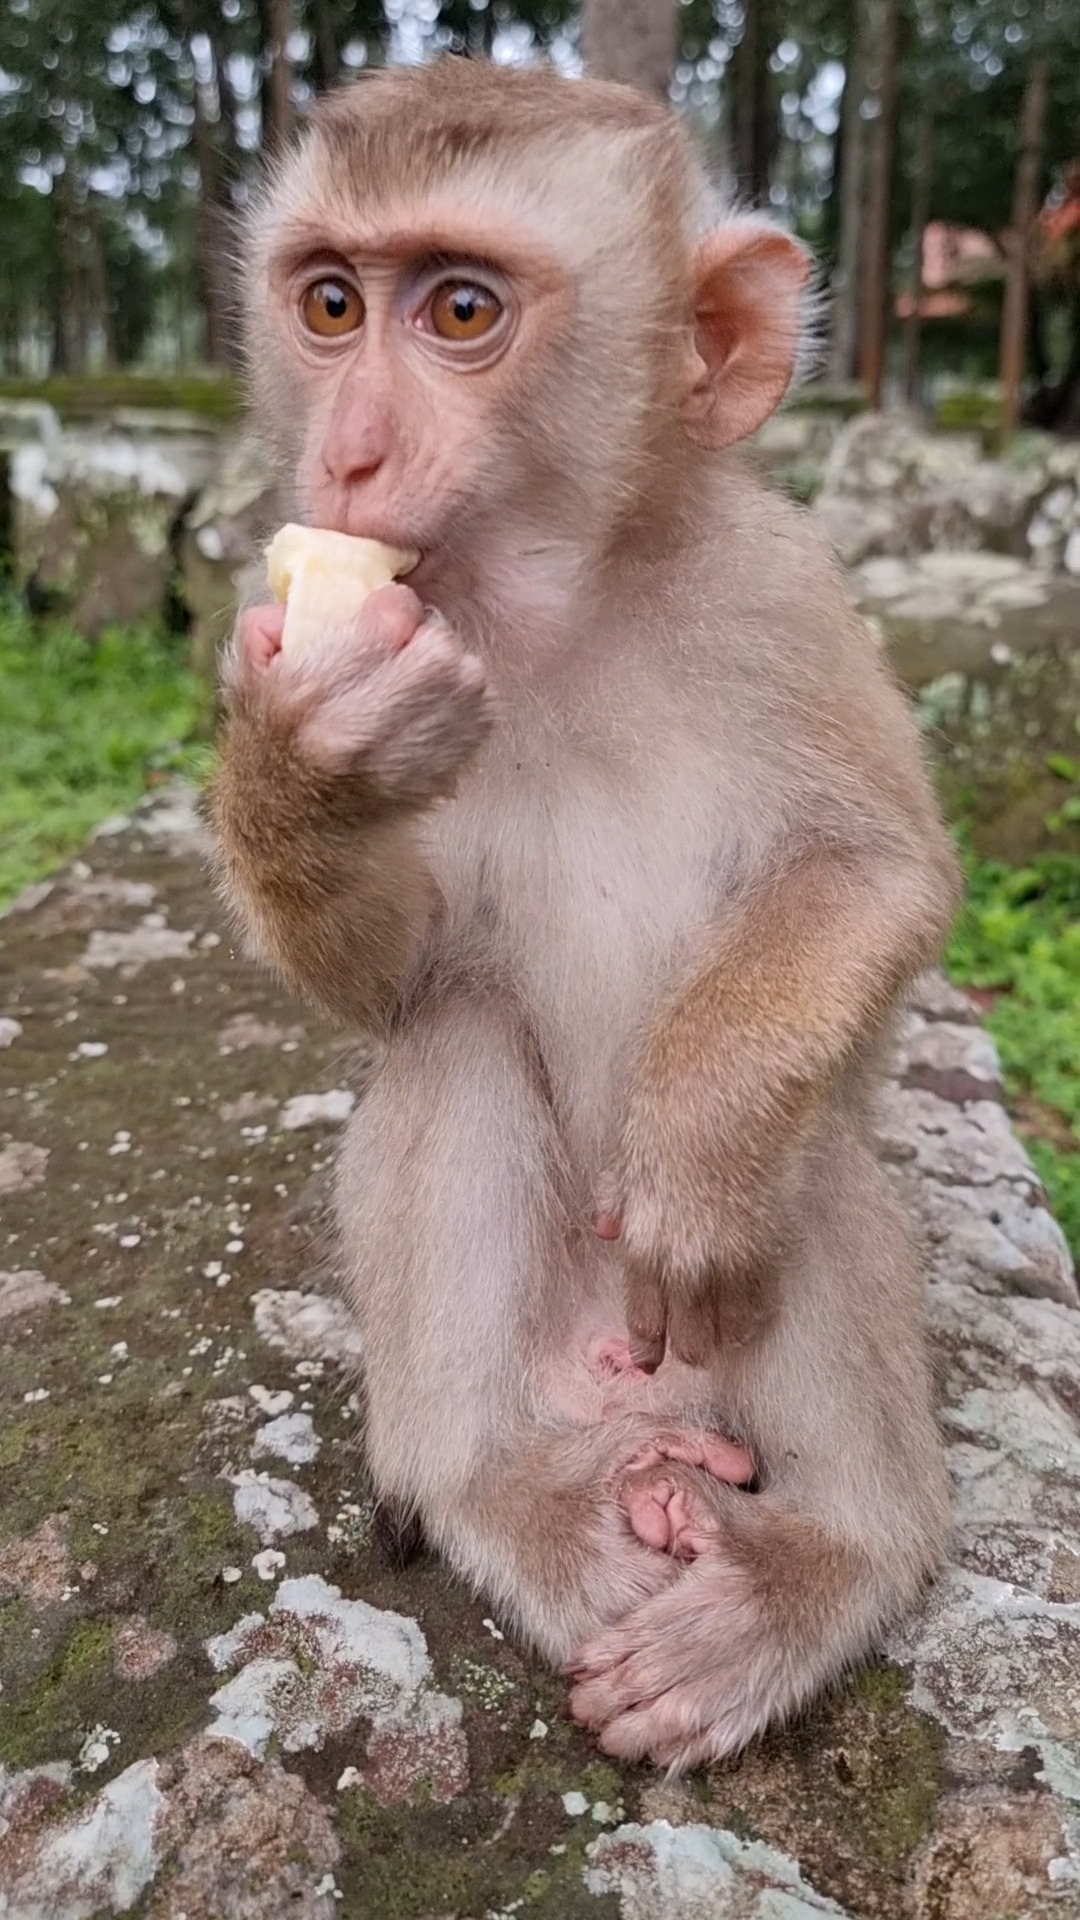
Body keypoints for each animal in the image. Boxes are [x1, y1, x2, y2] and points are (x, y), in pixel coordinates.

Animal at [210, 59, 961, 1770]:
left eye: (463, 310)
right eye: (332, 303)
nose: (346, 461)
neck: (555, 604)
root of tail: (630, 1401)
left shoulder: (778, 589)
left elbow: (877, 873)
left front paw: (695, 1137)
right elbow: (399, 976)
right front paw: (306, 763)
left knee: (799, 1173)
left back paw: (821, 1566)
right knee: (460, 1037)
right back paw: (501, 1486)